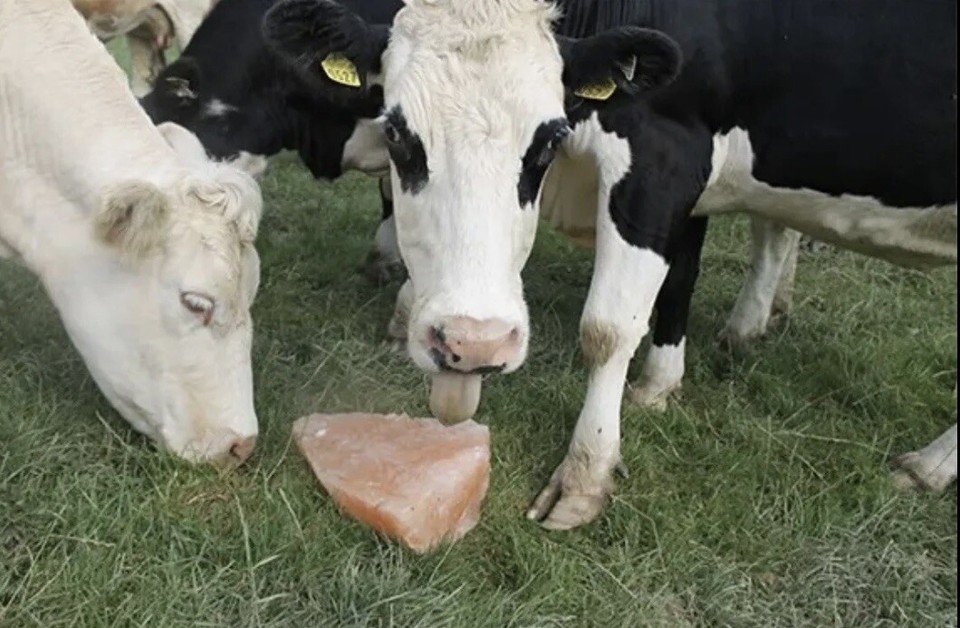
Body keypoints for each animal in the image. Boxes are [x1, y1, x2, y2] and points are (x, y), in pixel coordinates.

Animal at [263, 0, 958, 529]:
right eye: (398, 133)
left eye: (545, 141)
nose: (474, 342)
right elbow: (679, 281)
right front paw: (661, 384)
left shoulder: (661, 156)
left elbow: (609, 328)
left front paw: (585, 476)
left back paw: (928, 467)